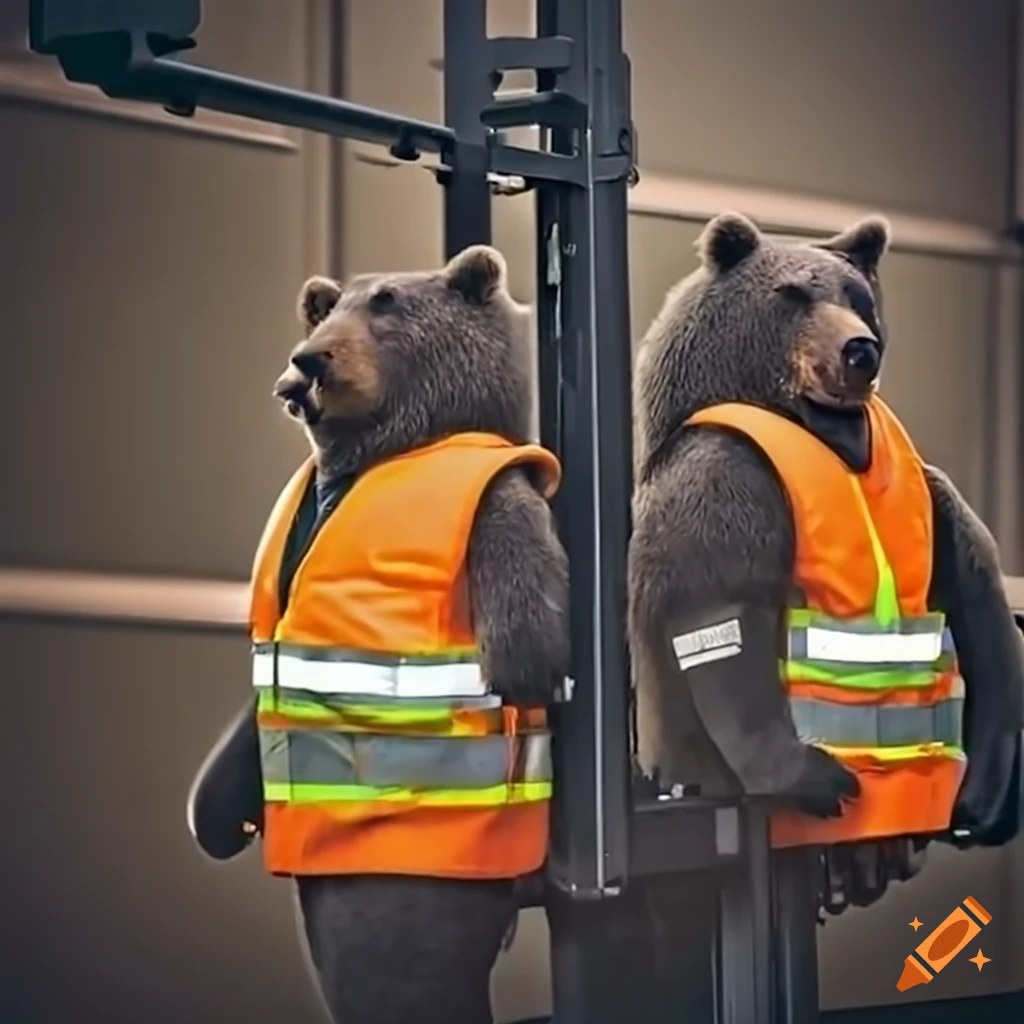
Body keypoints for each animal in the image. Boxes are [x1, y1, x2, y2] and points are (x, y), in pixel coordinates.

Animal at [187, 244, 570, 1024]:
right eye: (326, 308)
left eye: (387, 301)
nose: (307, 362)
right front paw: (214, 815)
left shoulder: (499, 503)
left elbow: (527, 645)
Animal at [628, 211, 1024, 919]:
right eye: (793, 294)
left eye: (857, 296)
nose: (859, 350)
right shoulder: (723, 479)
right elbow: (719, 616)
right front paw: (815, 774)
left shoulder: (935, 497)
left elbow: (982, 609)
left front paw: (984, 796)